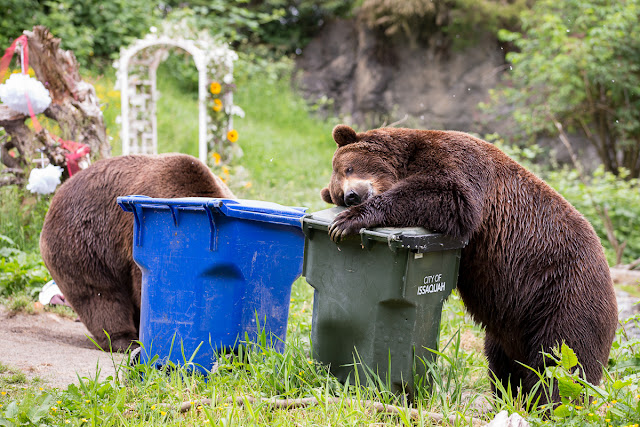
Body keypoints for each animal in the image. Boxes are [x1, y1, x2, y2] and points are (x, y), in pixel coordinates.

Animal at [320, 124, 618, 403]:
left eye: (348, 167)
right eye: (337, 192)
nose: (351, 196)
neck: (407, 161)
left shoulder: (461, 162)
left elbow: (448, 194)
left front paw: (347, 221)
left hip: (563, 296)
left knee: (561, 362)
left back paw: (550, 406)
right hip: (515, 320)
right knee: (504, 364)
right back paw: (511, 399)